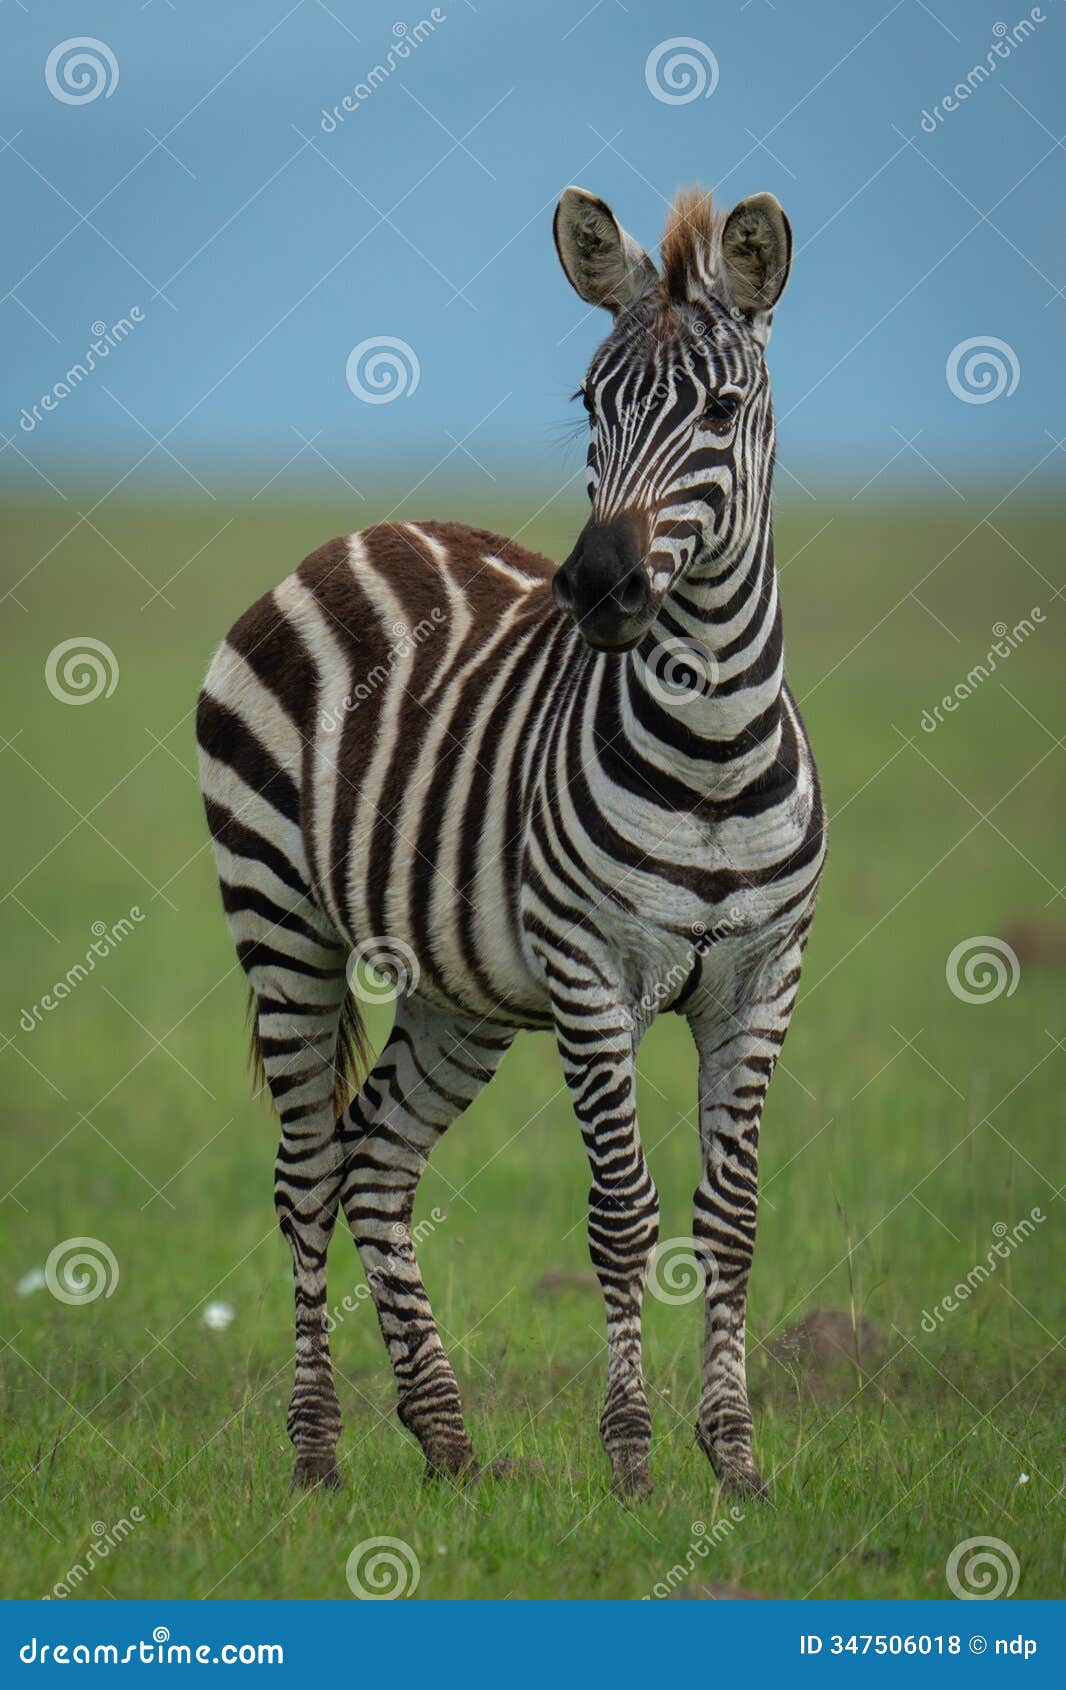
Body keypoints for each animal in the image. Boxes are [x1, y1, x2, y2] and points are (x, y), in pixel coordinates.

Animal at [196, 183, 826, 1501]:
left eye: (722, 409)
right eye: (590, 401)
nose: (595, 586)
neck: (712, 750)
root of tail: (359, 535)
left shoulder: (763, 979)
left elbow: (732, 1218)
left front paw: (736, 1460)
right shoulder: (594, 976)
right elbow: (623, 1214)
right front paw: (633, 1458)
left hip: (459, 989)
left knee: (376, 1159)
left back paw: (444, 1437)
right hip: (278, 916)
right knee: (305, 1172)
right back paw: (317, 1451)